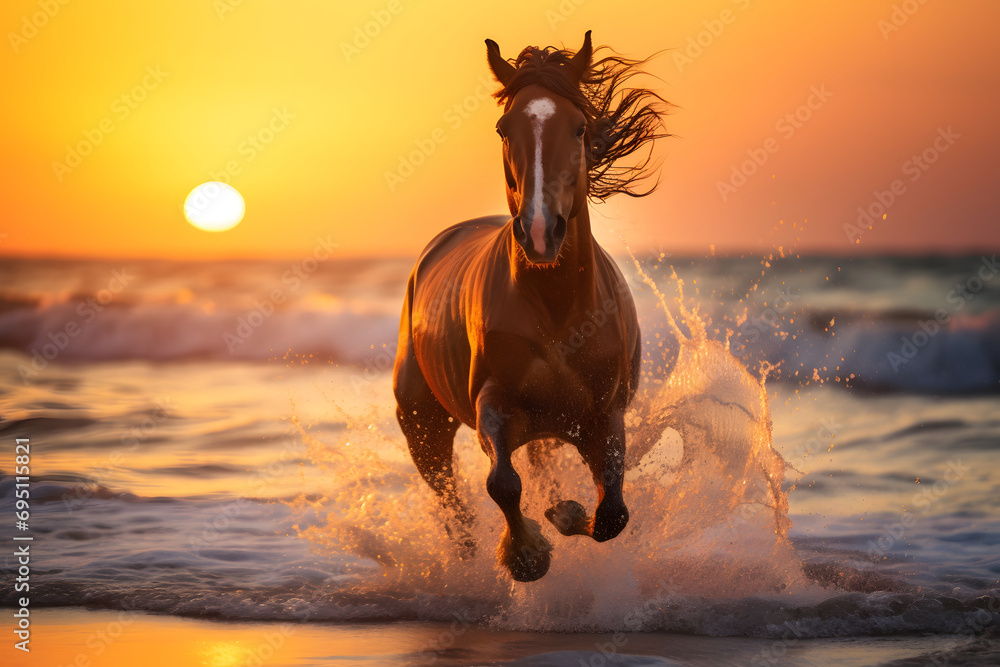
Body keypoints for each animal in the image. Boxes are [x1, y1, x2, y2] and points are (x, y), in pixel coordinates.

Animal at [393, 31, 667, 581]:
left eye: (580, 127)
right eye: (504, 128)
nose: (540, 231)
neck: (557, 309)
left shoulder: (604, 418)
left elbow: (612, 512)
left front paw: (564, 513)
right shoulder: (494, 405)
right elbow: (502, 483)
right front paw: (527, 553)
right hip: (423, 425)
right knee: (453, 506)